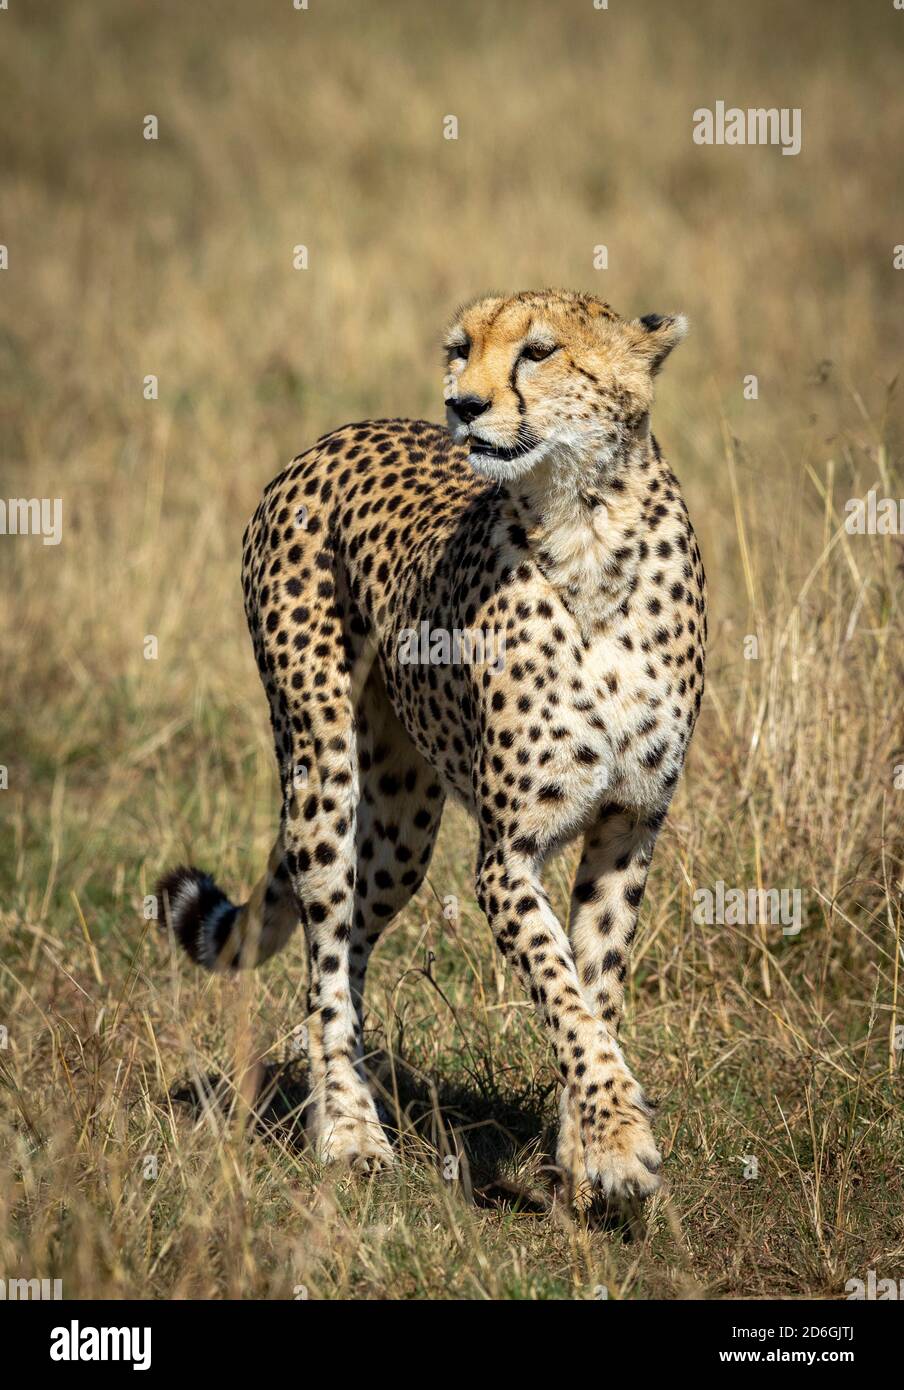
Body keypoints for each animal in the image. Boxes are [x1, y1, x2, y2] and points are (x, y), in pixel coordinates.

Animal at [157, 289, 707, 1205]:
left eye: (539, 352)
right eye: (460, 348)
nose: (464, 405)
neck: (588, 530)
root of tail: (336, 435)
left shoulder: (630, 826)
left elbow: (595, 989)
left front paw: (585, 1150)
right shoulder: (506, 855)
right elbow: (563, 993)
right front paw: (619, 1138)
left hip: (403, 826)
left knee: (350, 946)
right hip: (322, 769)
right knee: (324, 959)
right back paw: (349, 1131)